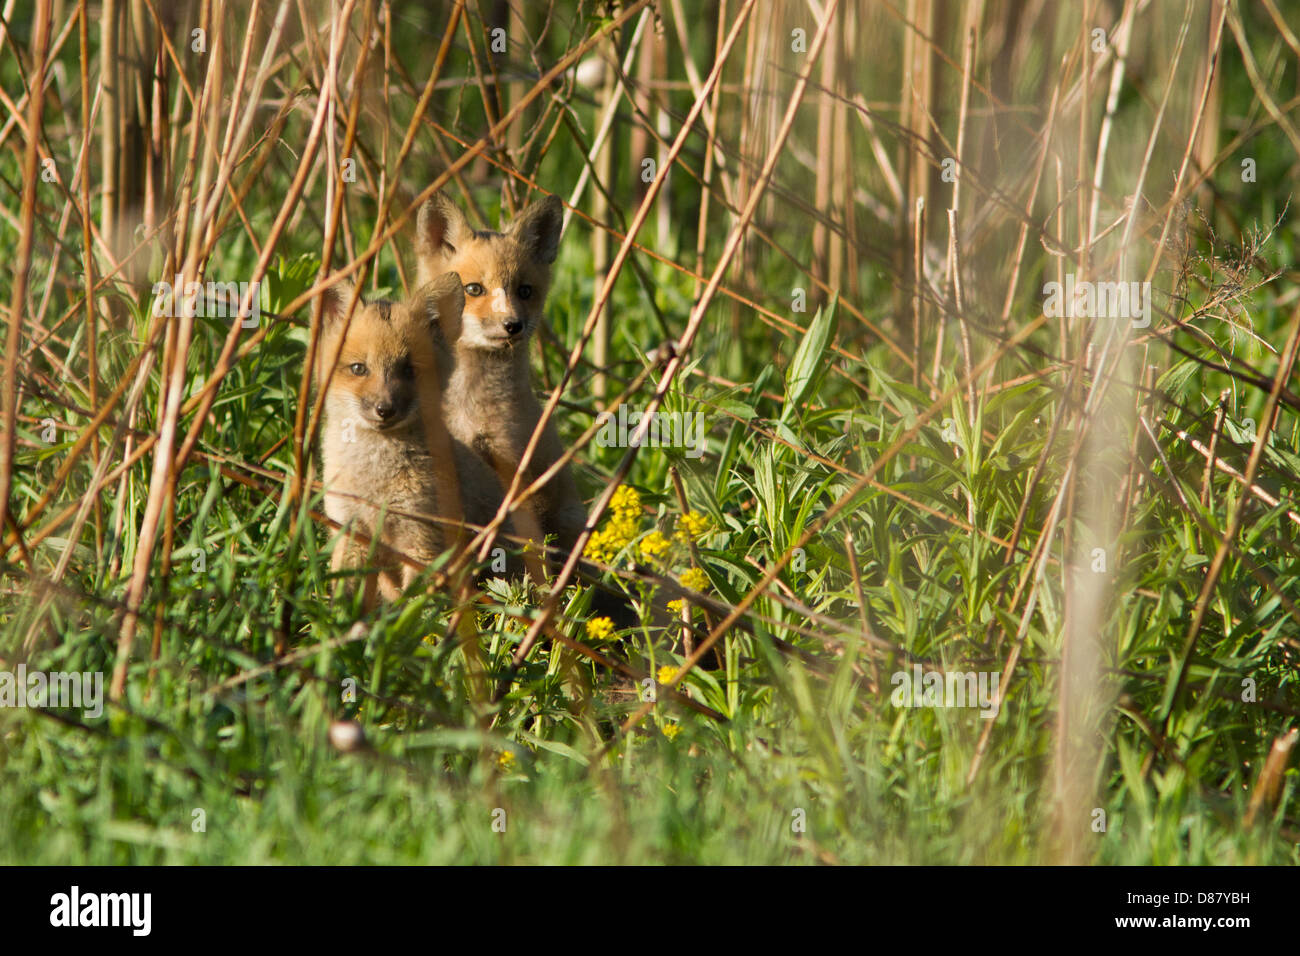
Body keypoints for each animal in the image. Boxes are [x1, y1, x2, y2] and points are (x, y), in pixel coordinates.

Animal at [316, 271, 506, 607]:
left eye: (408, 370)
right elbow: (346, 598)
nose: (384, 409)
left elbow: (414, 609)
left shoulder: (423, 540)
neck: (375, 484)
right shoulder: (352, 530)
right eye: (359, 369)